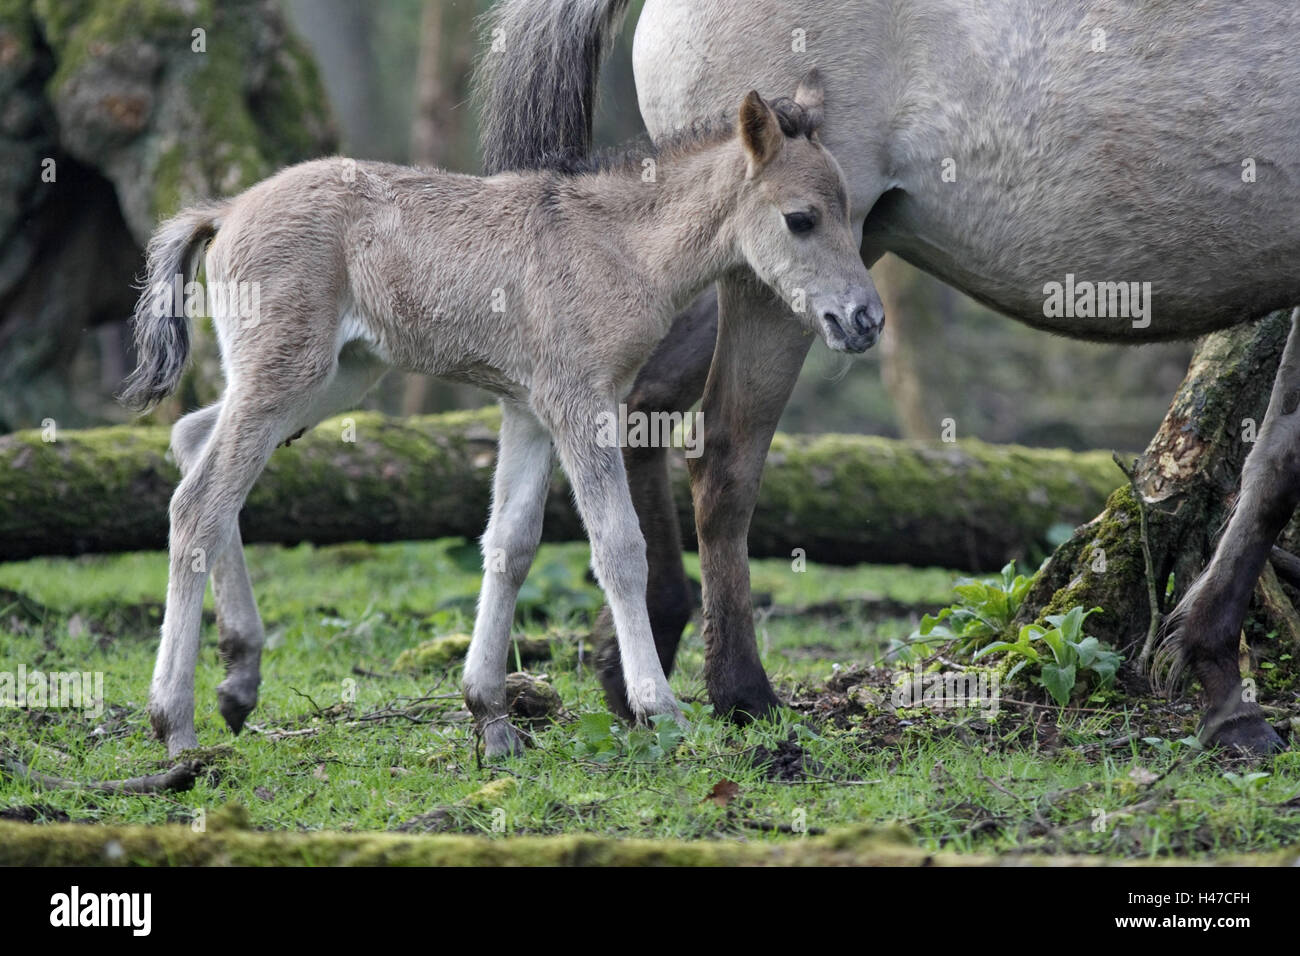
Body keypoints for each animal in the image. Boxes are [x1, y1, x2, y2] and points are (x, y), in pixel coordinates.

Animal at [120, 74, 881, 757]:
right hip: (286, 373)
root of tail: (225, 211)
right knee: (199, 503)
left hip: (337, 379)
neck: (619, 244)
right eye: (801, 218)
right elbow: (618, 547)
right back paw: (175, 722)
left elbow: (510, 545)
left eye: (852, 211)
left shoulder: (527, 409)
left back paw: (239, 678)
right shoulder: (579, 402)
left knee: (192, 441)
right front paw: (659, 708)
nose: (864, 320)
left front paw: (490, 717)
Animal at [477, 0, 1300, 753]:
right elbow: (1276, 470)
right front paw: (1225, 692)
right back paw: (743, 691)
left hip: (792, 265)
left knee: (643, 405)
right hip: (777, 287)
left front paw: (1218, 676)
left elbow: (1271, 466)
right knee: (724, 458)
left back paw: (639, 656)